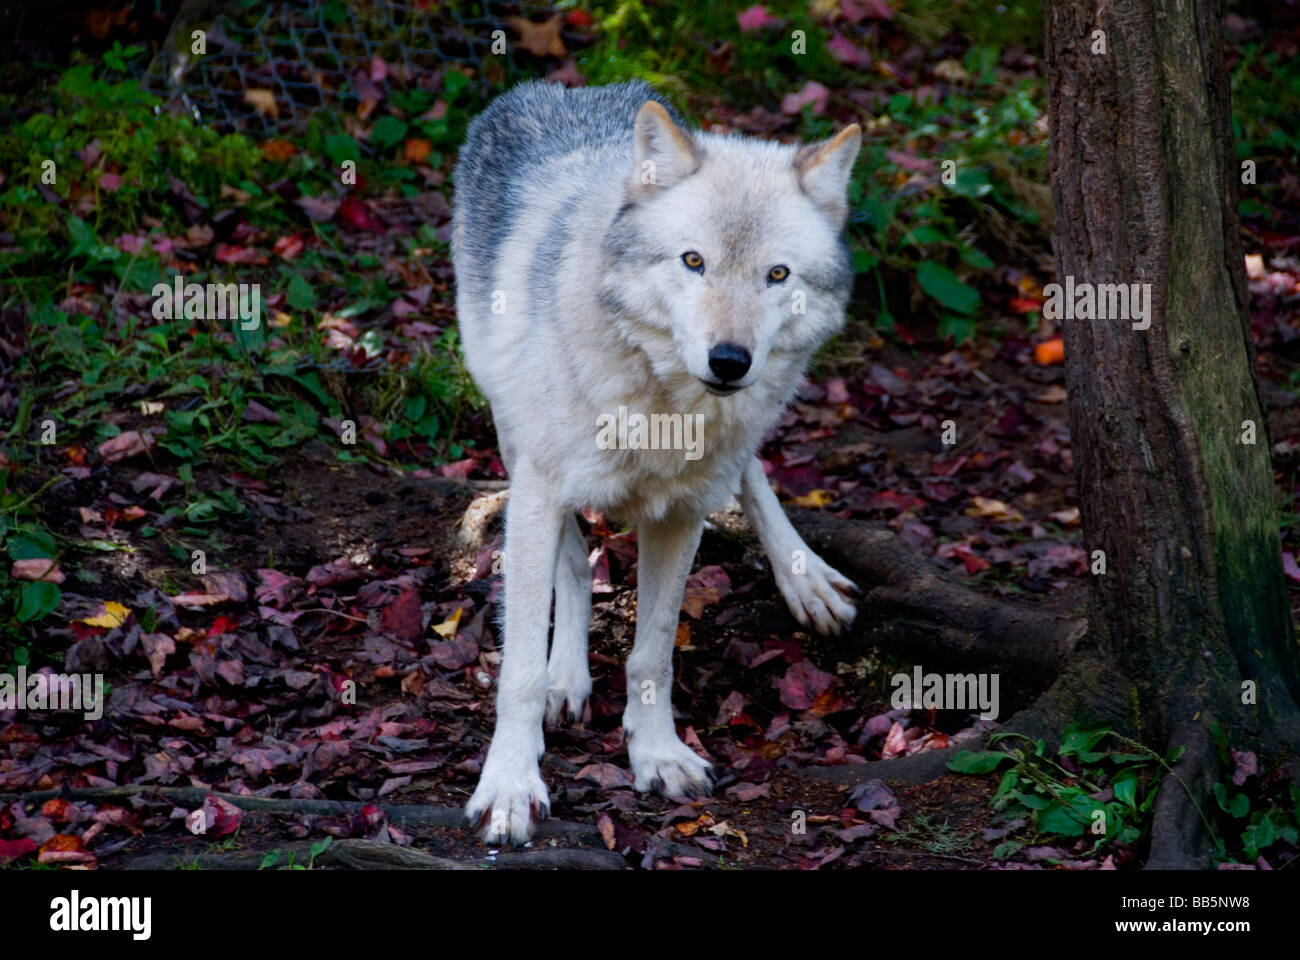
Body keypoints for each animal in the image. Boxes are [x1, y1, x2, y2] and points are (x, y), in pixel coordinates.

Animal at [452, 80, 861, 844]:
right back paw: (567, 678)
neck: (662, 402)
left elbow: (653, 652)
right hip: (509, 425)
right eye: (692, 261)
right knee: (571, 559)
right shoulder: (539, 488)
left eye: (777, 274)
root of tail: (567, 89)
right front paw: (511, 786)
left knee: (750, 470)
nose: (729, 361)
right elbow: (519, 667)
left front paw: (658, 755)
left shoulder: (682, 511)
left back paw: (806, 579)